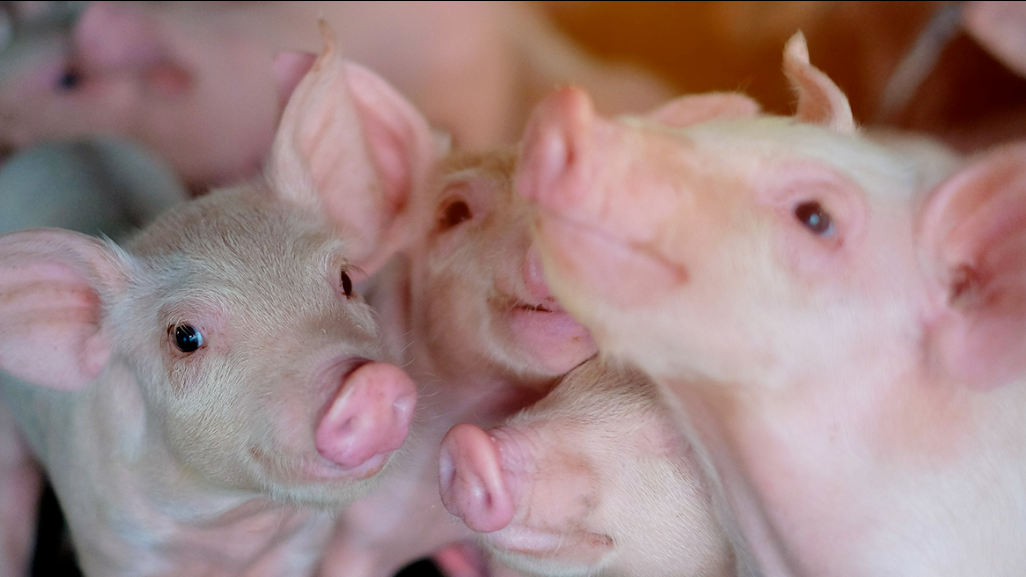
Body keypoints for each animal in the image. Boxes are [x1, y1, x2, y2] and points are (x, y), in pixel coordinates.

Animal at [0, 26, 441, 577]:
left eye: (345, 280)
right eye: (185, 337)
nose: (369, 383)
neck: (231, 529)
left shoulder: (301, 546)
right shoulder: (116, 548)